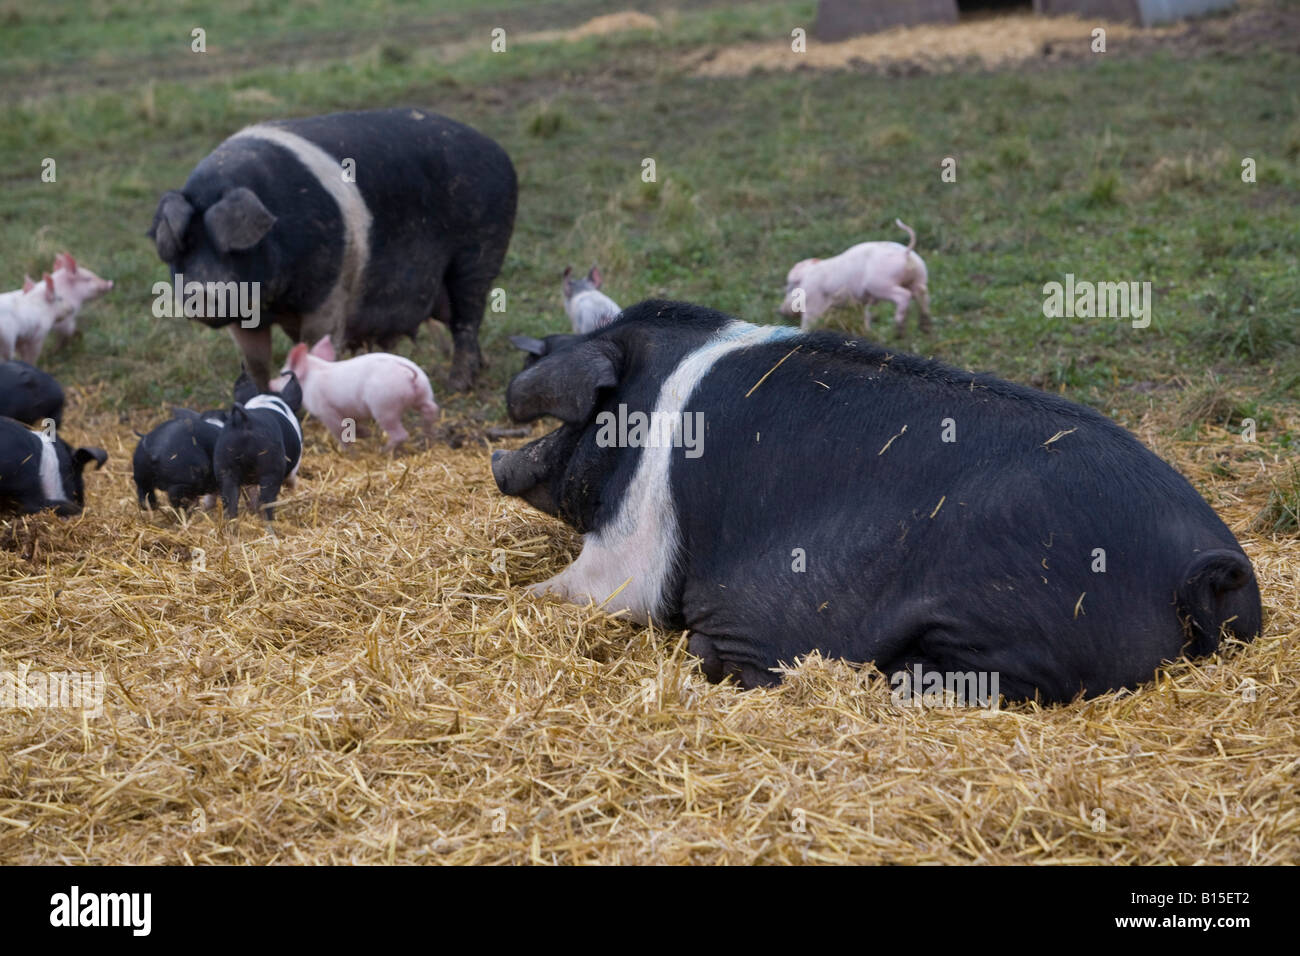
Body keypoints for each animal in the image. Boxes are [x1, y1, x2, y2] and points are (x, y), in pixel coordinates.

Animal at [149, 108, 517, 392]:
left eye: (233, 249)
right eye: (184, 248)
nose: (203, 292)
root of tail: (497, 150)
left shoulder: (330, 292)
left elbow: (313, 345)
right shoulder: (244, 317)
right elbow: (255, 362)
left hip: (478, 253)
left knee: (468, 320)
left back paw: (457, 385)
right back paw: (479, 369)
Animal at [213, 370, 304, 521]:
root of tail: (245, 420)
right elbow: (291, 480)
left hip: (224, 465)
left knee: (230, 502)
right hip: (271, 468)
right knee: (266, 502)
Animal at [275, 337, 439, 452]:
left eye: (282, 374)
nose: (271, 383)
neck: (310, 377)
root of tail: (410, 372)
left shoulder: (326, 411)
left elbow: (340, 433)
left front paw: (349, 452)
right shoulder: (351, 412)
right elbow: (355, 427)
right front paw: (366, 433)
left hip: (385, 407)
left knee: (401, 434)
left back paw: (382, 451)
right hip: (423, 393)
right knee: (431, 409)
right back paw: (429, 441)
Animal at [778, 219, 932, 336]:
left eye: (789, 287)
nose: (780, 311)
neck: (807, 276)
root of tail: (906, 253)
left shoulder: (812, 303)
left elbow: (808, 322)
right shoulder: (862, 302)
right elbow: (866, 316)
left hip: (881, 284)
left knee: (904, 296)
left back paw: (899, 331)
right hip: (919, 277)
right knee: (922, 294)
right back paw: (924, 327)